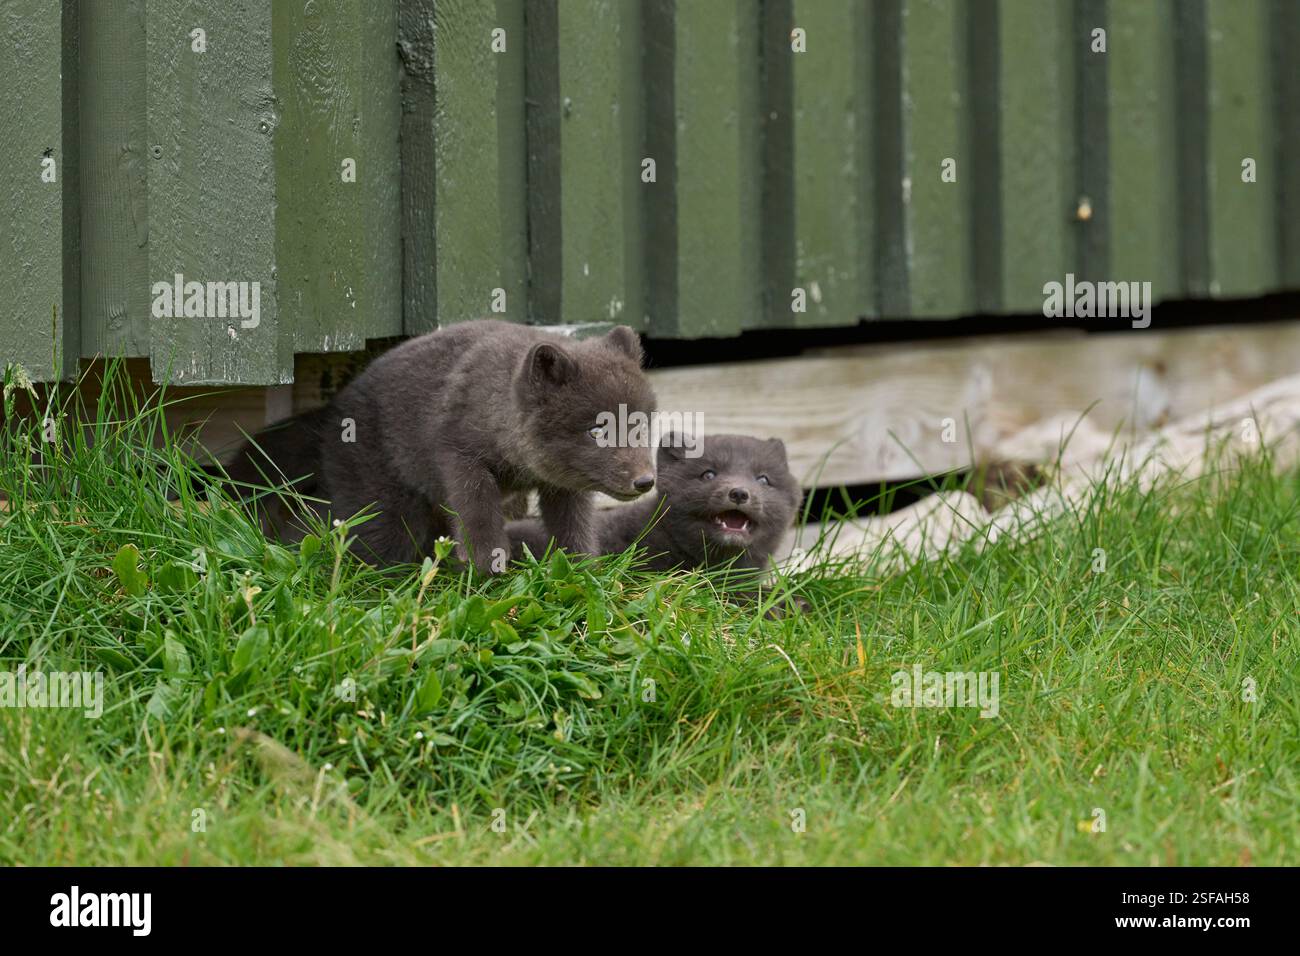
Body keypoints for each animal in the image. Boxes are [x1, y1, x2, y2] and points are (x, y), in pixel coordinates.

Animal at [217, 321, 658, 572]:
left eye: (639, 424)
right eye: (597, 429)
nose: (645, 481)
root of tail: (331, 410)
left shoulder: (562, 483)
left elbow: (573, 524)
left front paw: (582, 568)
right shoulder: (456, 451)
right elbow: (475, 505)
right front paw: (487, 561)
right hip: (380, 501)